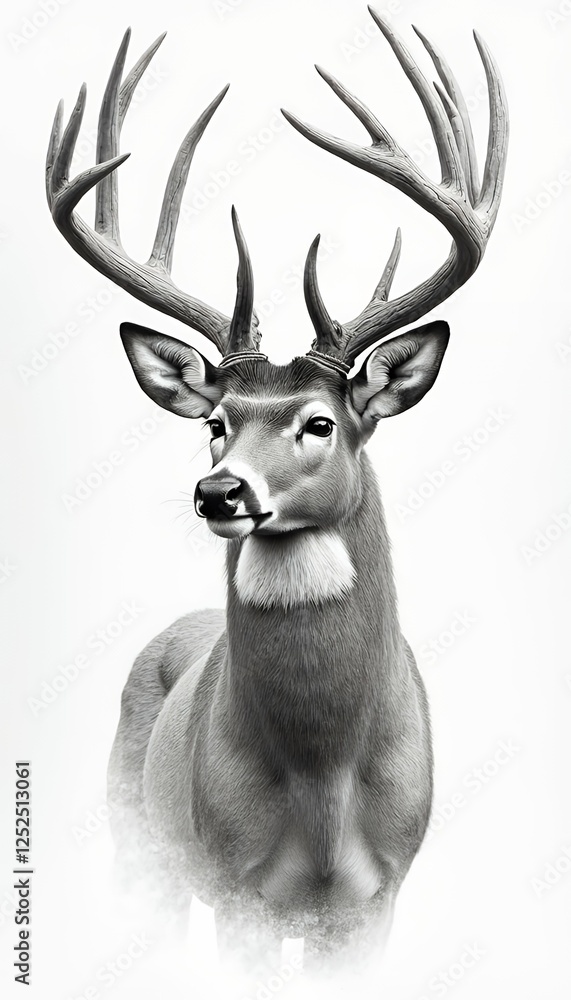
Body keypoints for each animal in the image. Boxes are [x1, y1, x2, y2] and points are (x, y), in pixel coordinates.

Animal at [45, 8, 508, 976]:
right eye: (214, 423)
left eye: (319, 423)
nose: (218, 491)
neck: (323, 782)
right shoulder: (236, 890)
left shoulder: (380, 899)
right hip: (136, 848)